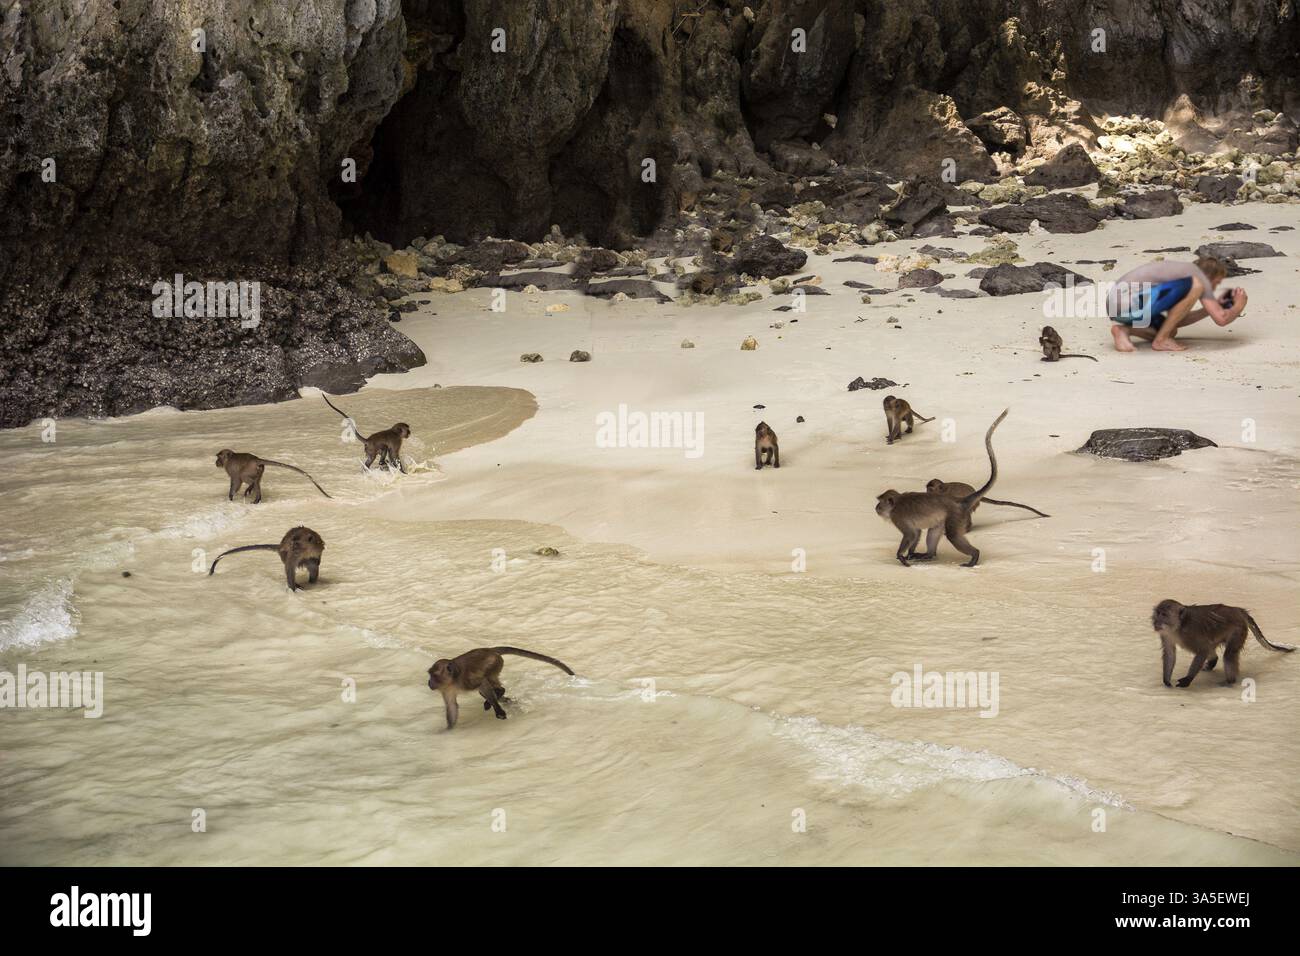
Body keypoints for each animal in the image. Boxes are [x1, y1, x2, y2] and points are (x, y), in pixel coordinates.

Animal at [427, 646, 575, 729]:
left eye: (434, 675)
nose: (429, 683)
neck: (453, 680)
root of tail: (491, 649)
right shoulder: (446, 688)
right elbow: (452, 706)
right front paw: (448, 730)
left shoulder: (466, 680)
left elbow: (482, 683)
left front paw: (498, 710)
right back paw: (504, 700)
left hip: (495, 663)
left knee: (489, 682)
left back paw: (497, 697)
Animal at [874, 409, 1007, 567]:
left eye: (880, 502)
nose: (876, 508)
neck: (896, 503)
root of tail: (958, 501)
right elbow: (917, 533)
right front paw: (910, 553)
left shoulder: (897, 516)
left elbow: (910, 534)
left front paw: (901, 555)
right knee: (934, 531)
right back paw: (929, 554)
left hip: (955, 516)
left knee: (952, 535)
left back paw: (974, 555)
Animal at [1151, 600, 1294, 687]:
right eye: (1157, 613)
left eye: (1163, 614)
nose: (1156, 622)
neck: (1178, 627)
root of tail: (1237, 610)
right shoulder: (1166, 634)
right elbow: (1170, 653)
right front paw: (1166, 680)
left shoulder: (1191, 632)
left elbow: (1202, 650)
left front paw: (1188, 679)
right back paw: (1213, 661)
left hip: (1238, 629)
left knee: (1228, 654)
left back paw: (1229, 682)